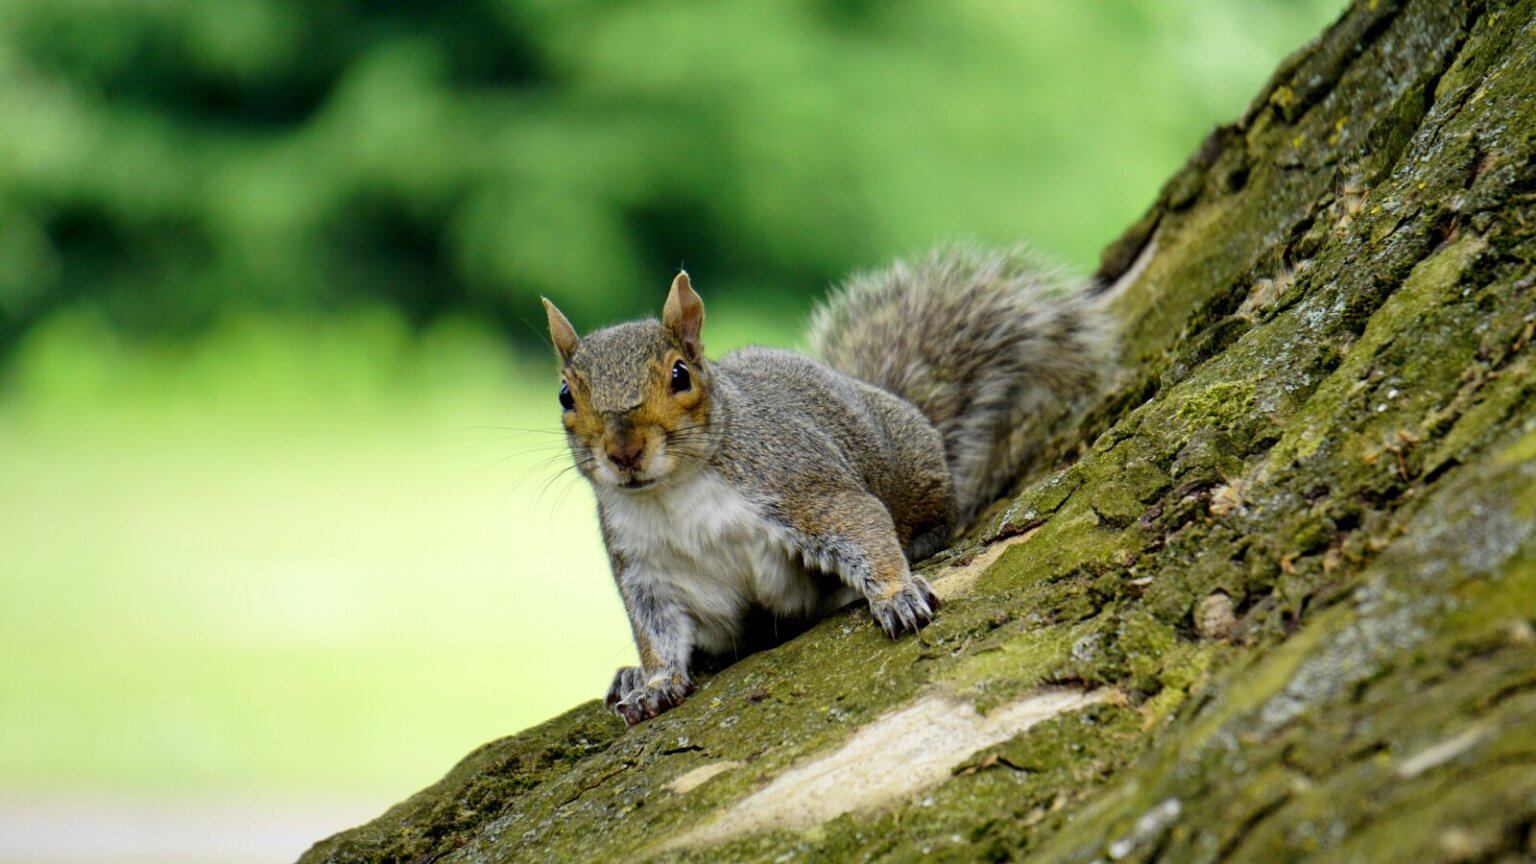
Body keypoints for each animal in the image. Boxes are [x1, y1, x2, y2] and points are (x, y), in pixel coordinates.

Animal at [540, 244, 1113, 726]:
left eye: (681, 375)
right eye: (565, 395)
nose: (624, 452)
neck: (674, 494)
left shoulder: (799, 484)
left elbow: (862, 524)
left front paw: (897, 595)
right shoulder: (645, 569)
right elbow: (655, 632)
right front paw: (655, 682)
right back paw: (630, 676)